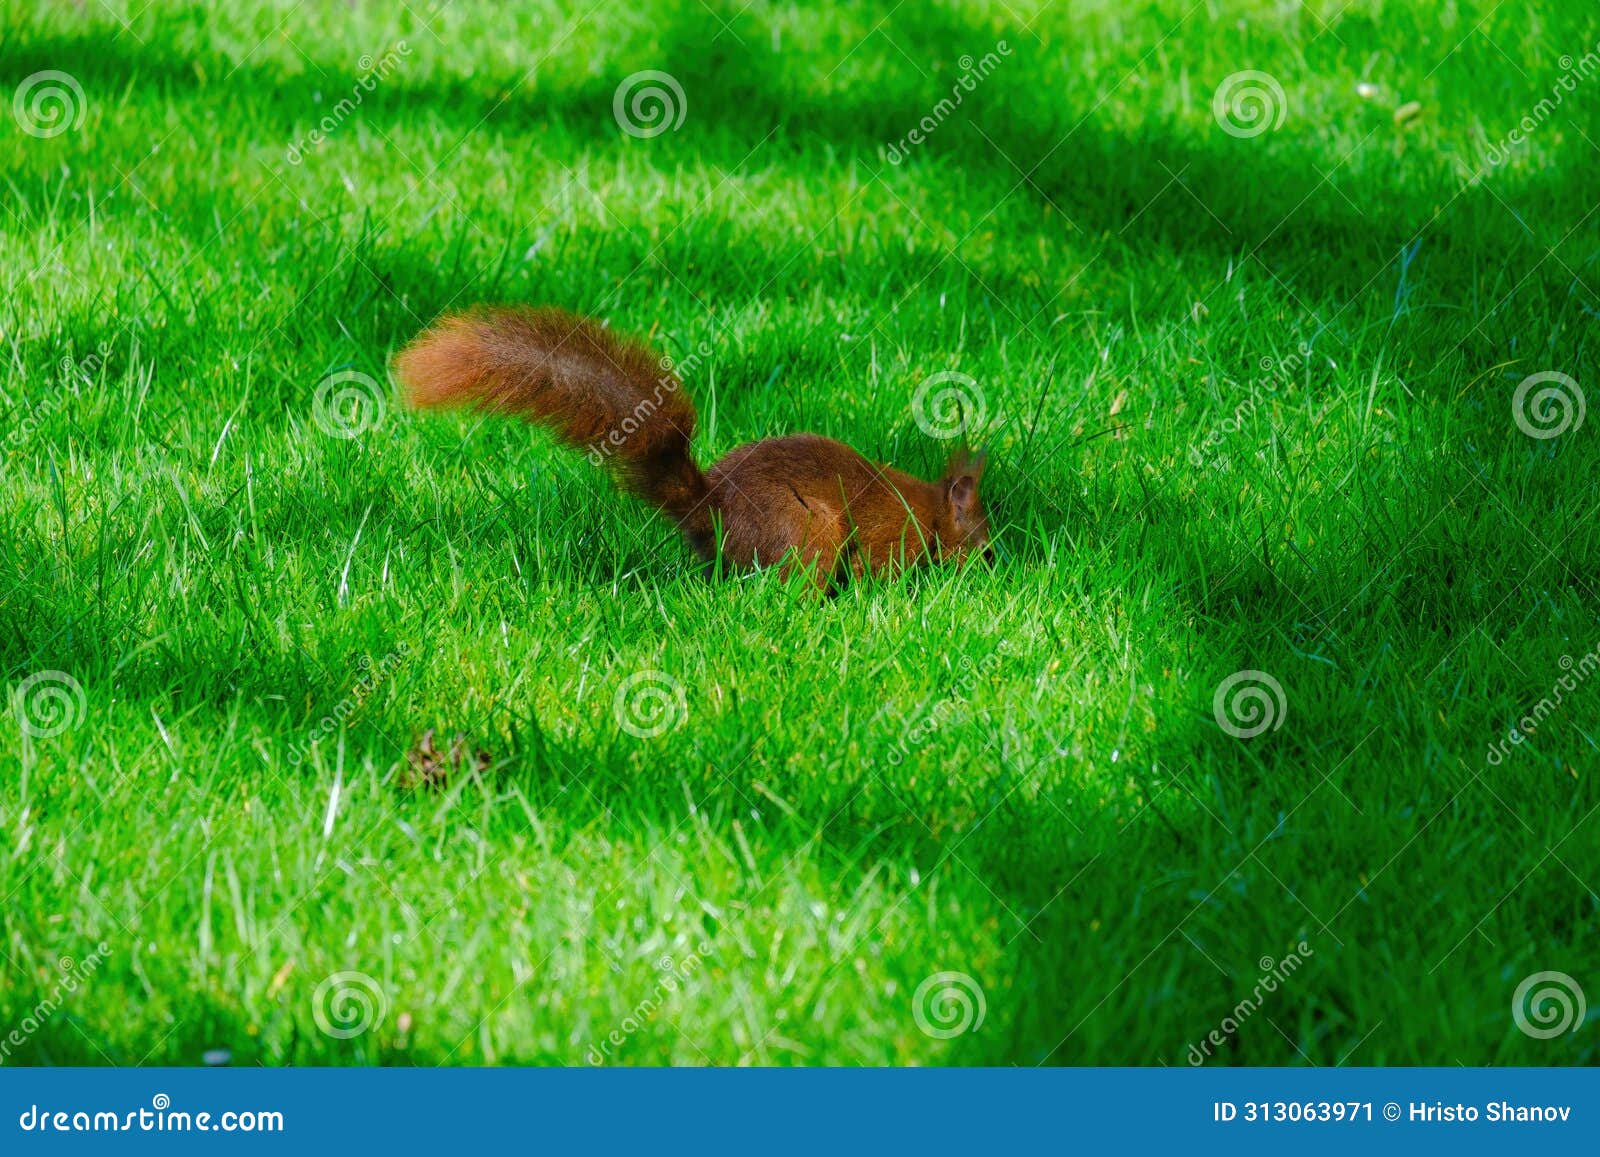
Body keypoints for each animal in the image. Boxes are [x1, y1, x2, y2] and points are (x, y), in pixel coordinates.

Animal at [394, 306, 991, 589]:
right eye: (984, 546)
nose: (991, 571)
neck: (932, 509)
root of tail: (711, 506)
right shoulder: (892, 537)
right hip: (808, 529)